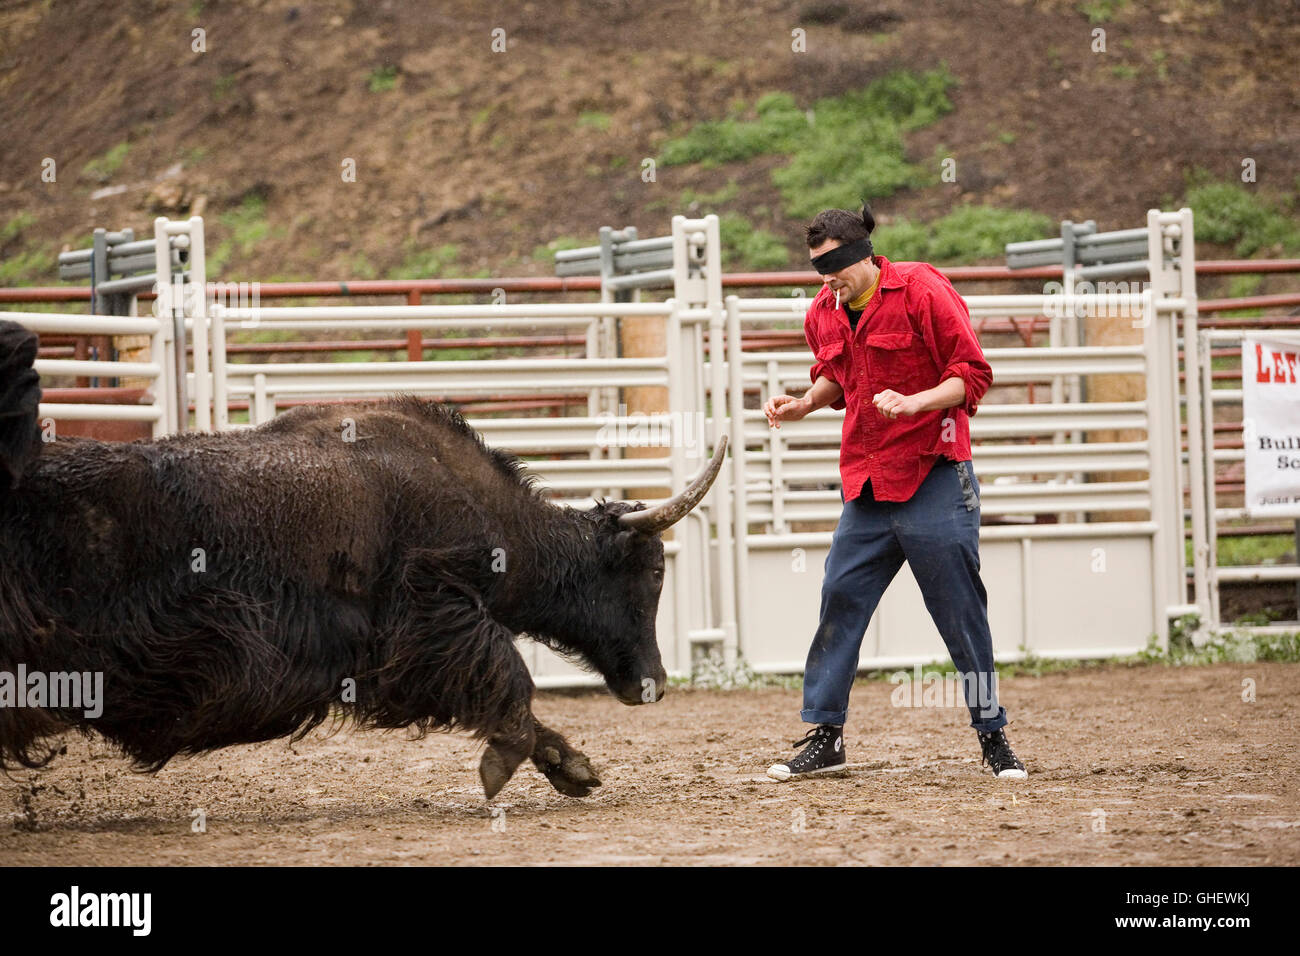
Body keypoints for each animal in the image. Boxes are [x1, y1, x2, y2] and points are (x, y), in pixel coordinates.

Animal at [0, 319, 725, 800]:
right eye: (651, 573)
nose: (655, 683)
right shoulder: (433, 616)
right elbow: (509, 679)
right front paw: (505, 770)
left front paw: (573, 769)